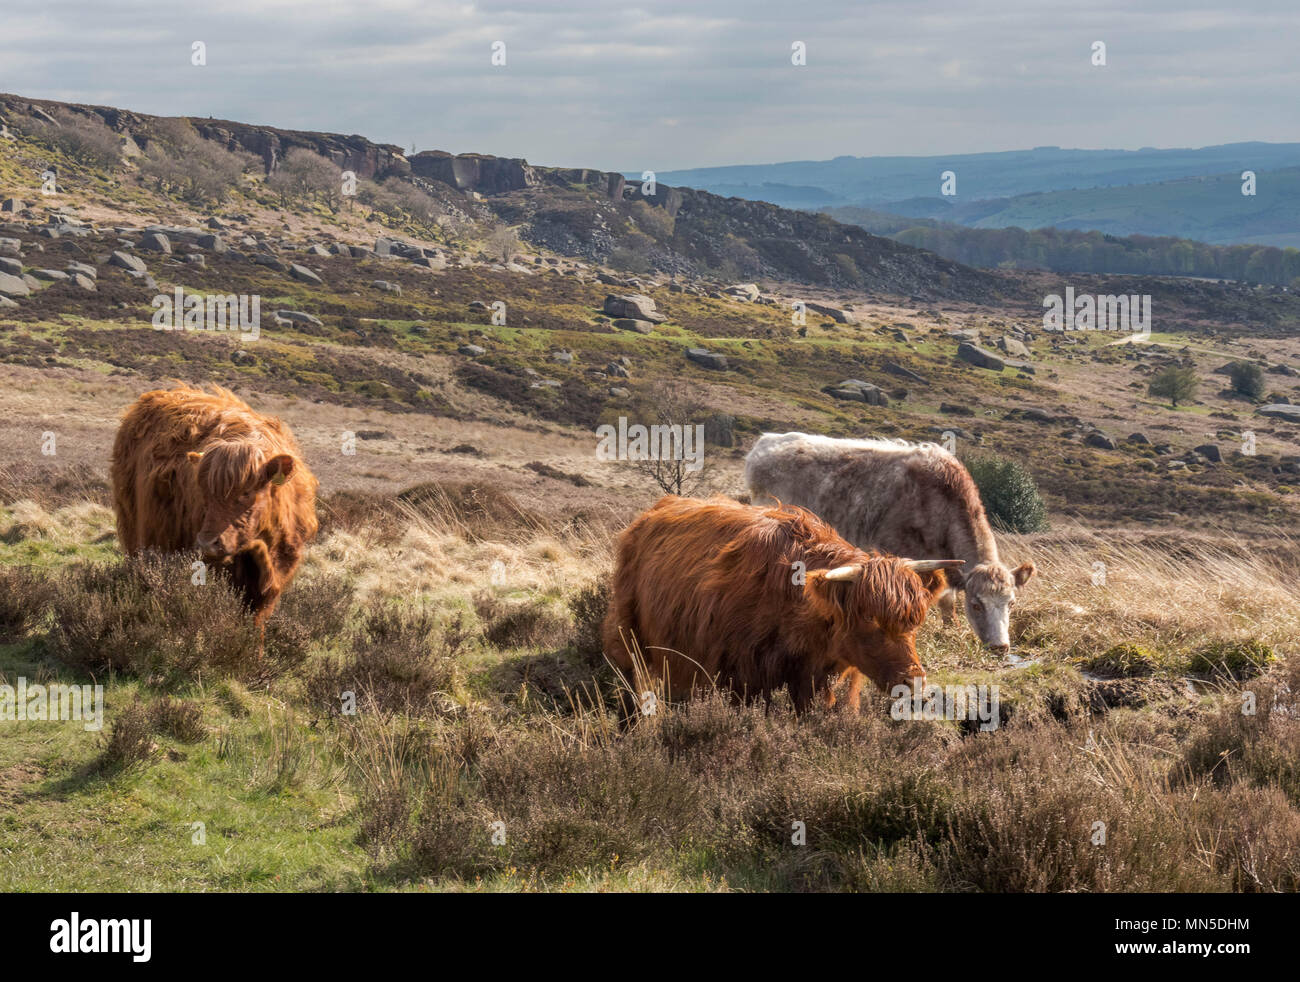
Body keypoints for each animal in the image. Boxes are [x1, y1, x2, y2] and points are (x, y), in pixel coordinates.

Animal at [110, 384, 319, 625]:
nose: (207, 543)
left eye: (247, 492)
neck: (262, 549)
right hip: (137, 537)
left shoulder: (274, 581)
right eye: (204, 494)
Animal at [601, 495, 961, 715]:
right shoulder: (737, 678)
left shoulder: (816, 682)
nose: (915, 682)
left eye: (915, 621)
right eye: (871, 621)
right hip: (630, 638)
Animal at [745, 432, 1035, 651]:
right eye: (976, 604)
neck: (937, 501)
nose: (1000, 646)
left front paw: (949, 630)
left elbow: (947, 602)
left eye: (1011, 603)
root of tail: (767, 442)